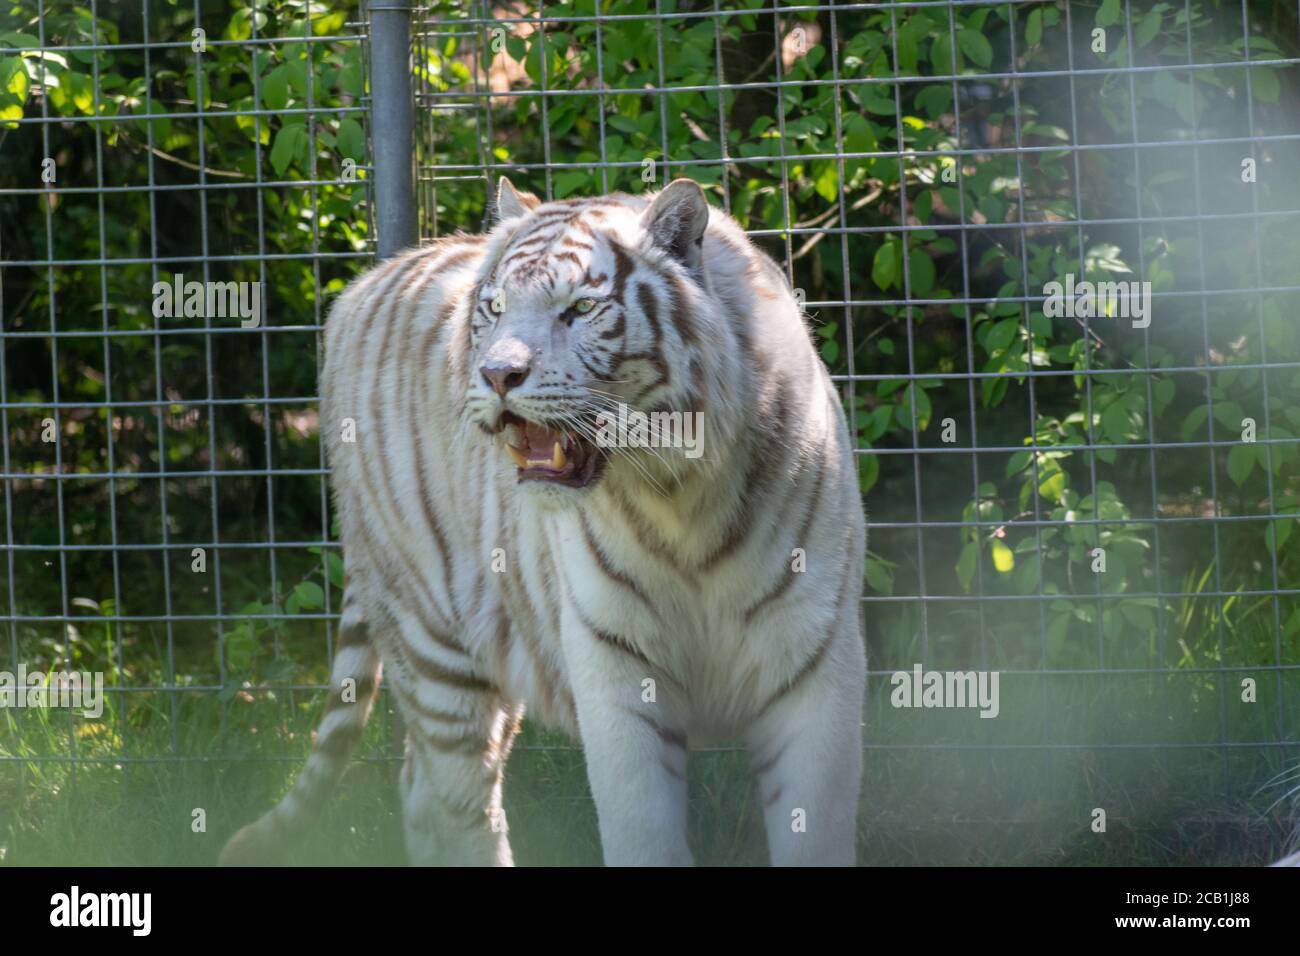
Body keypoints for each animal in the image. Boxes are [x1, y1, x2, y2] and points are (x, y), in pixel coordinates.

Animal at [220, 177, 867, 866]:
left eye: (580, 309)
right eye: (496, 307)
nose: (497, 374)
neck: (680, 497)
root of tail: (366, 282)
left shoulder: (815, 664)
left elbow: (815, 831)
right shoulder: (615, 664)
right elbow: (642, 832)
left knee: (418, 785)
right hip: (435, 645)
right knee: (459, 803)